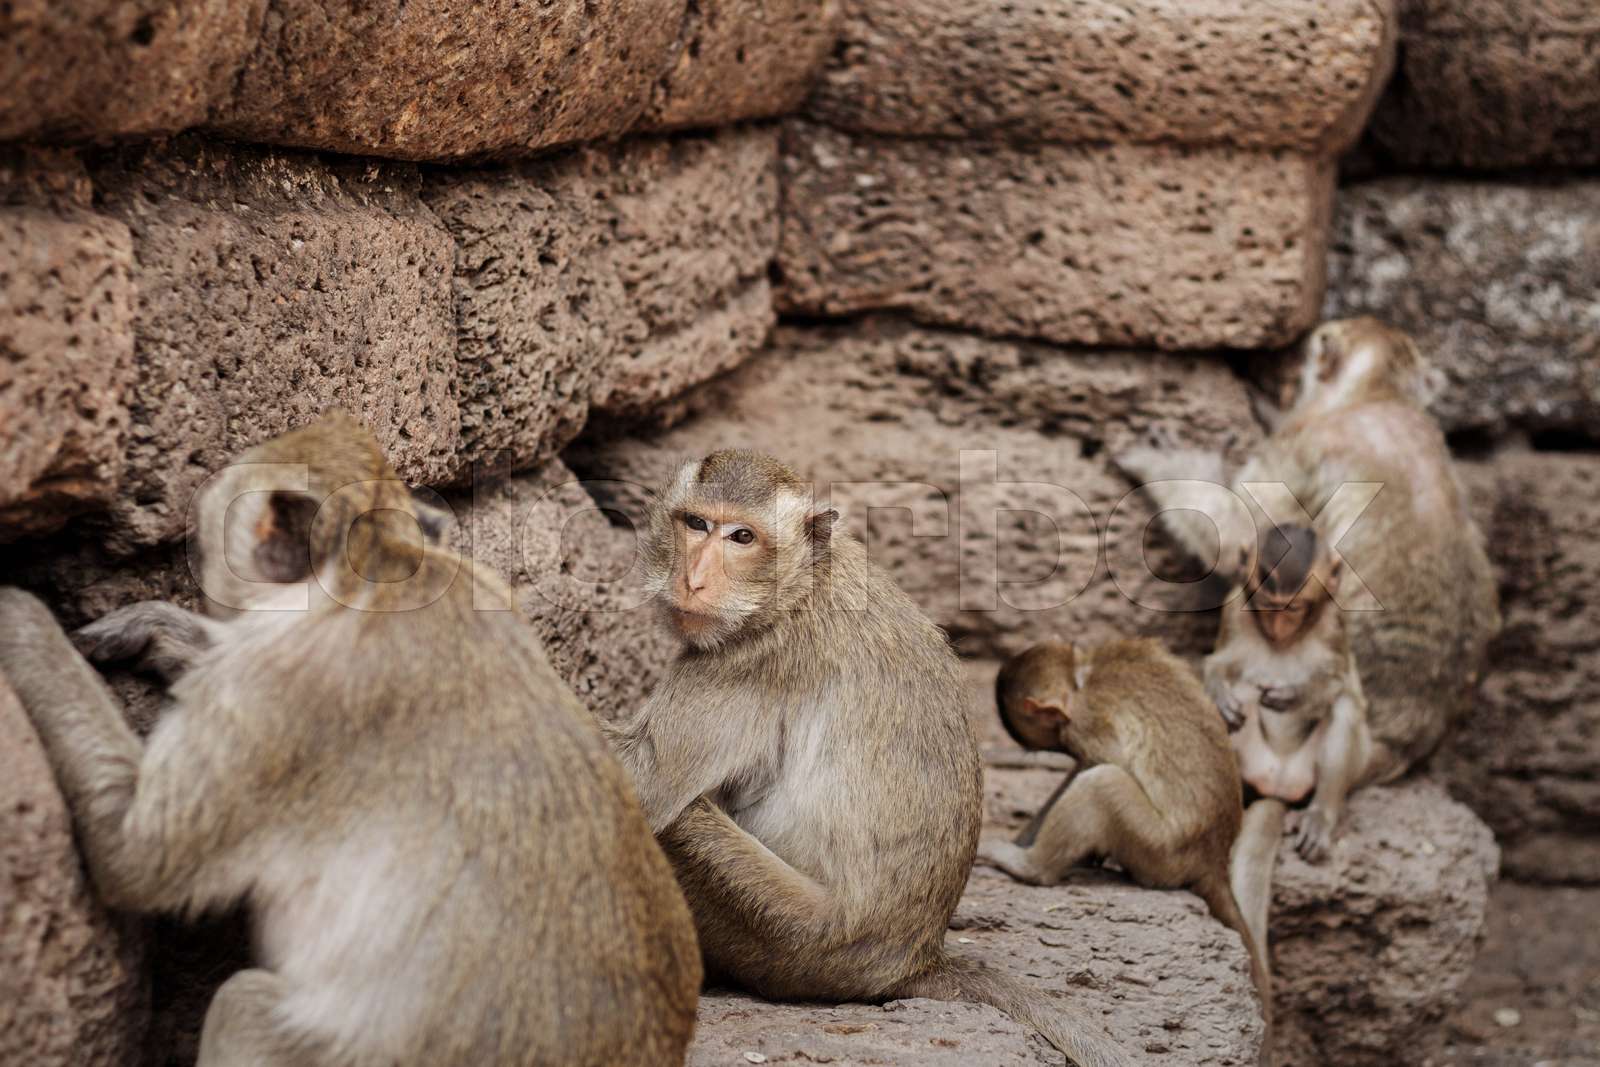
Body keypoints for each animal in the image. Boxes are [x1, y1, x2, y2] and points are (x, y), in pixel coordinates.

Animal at [0, 411, 702, 1067]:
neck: (378, 567)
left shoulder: (287, 692)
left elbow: (137, 858)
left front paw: (23, 615)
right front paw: (162, 632)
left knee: (241, 1005)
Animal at [602, 449, 1133, 1067]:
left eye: (742, 537)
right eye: (695, 524)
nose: (694, 578)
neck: (802, 585)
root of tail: (915, 958)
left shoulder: (742, 663)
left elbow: (644, 785)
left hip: (798, 939)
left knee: (681, 820)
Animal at [976, 639, 1273, 1030]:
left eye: (1056, 738)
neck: (1081, 676)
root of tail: (1215, 859)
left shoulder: (1088, 722)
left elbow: (1098, 761)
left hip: (1158, 849)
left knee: (1103, 782)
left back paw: (1029, 866)